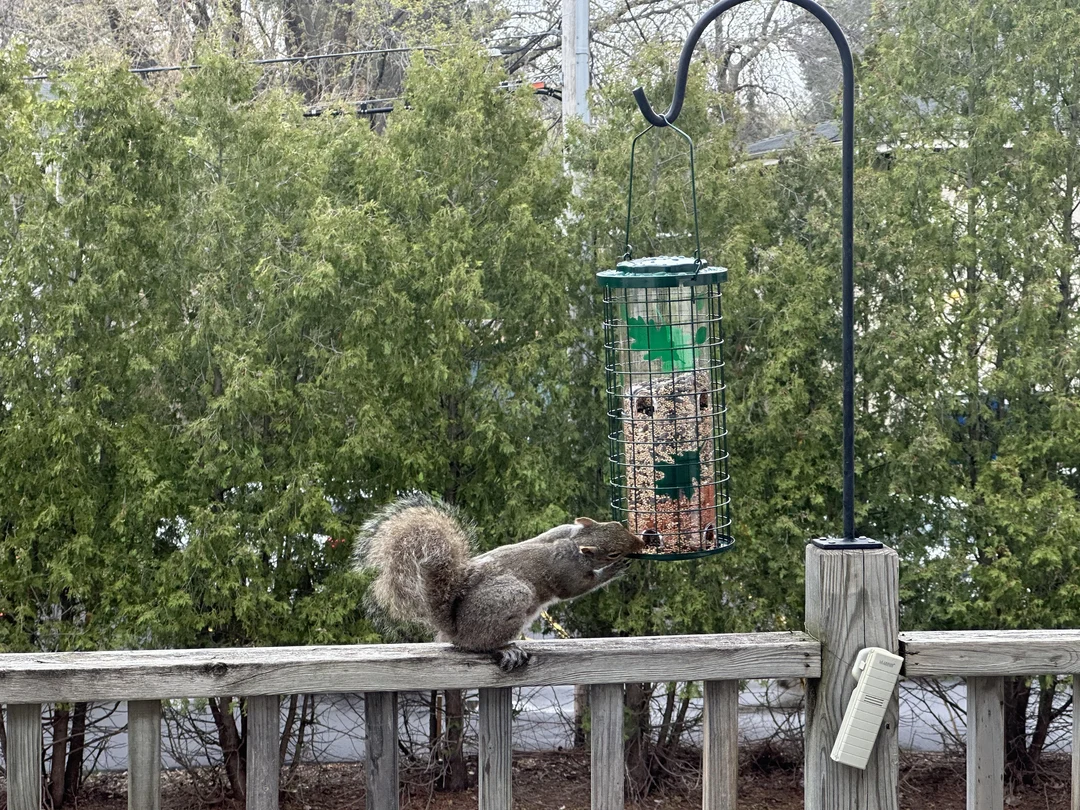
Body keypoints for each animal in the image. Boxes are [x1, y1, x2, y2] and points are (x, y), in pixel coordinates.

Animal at [354, 493, 646, 671]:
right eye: (612, 553)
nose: (641, 543)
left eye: (618, 524)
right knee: (478, 647)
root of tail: (455, 630)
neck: (574, 541)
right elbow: (577, 588)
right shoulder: (566, 573)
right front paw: (614, 570)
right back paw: (505, 649)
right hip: (514, 598)